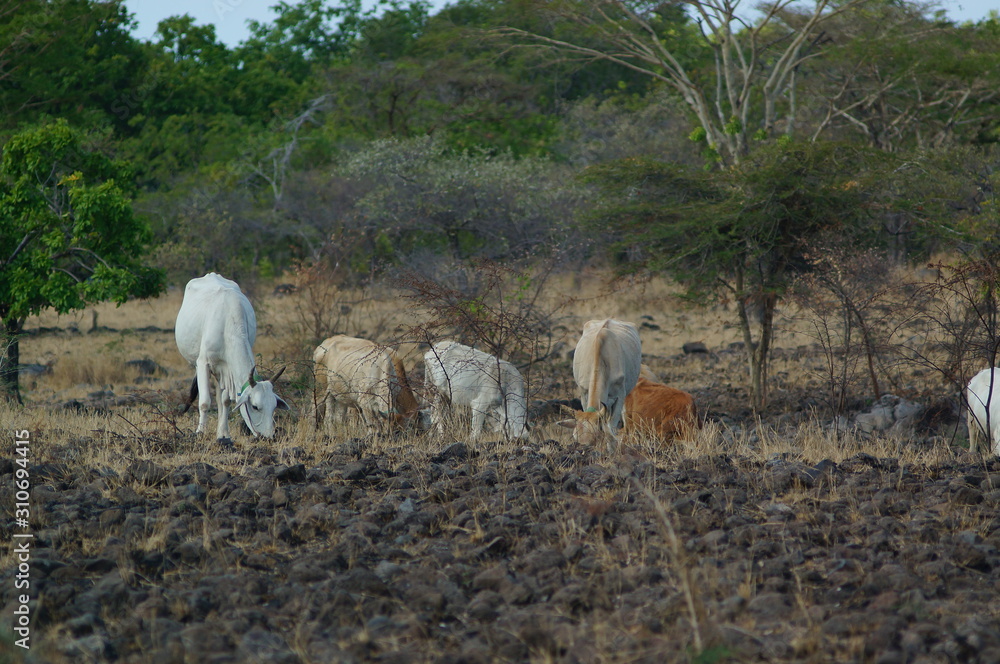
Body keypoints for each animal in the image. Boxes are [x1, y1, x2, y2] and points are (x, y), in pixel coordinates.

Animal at [175, 273, 289, 444]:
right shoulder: (203, 363)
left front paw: (224, 434)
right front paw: (200, 432)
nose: (268, 437)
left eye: (274, 406)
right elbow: (204, 402)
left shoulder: (227, 370)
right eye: (255, 406)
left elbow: (225, 401)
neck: (228, 323)